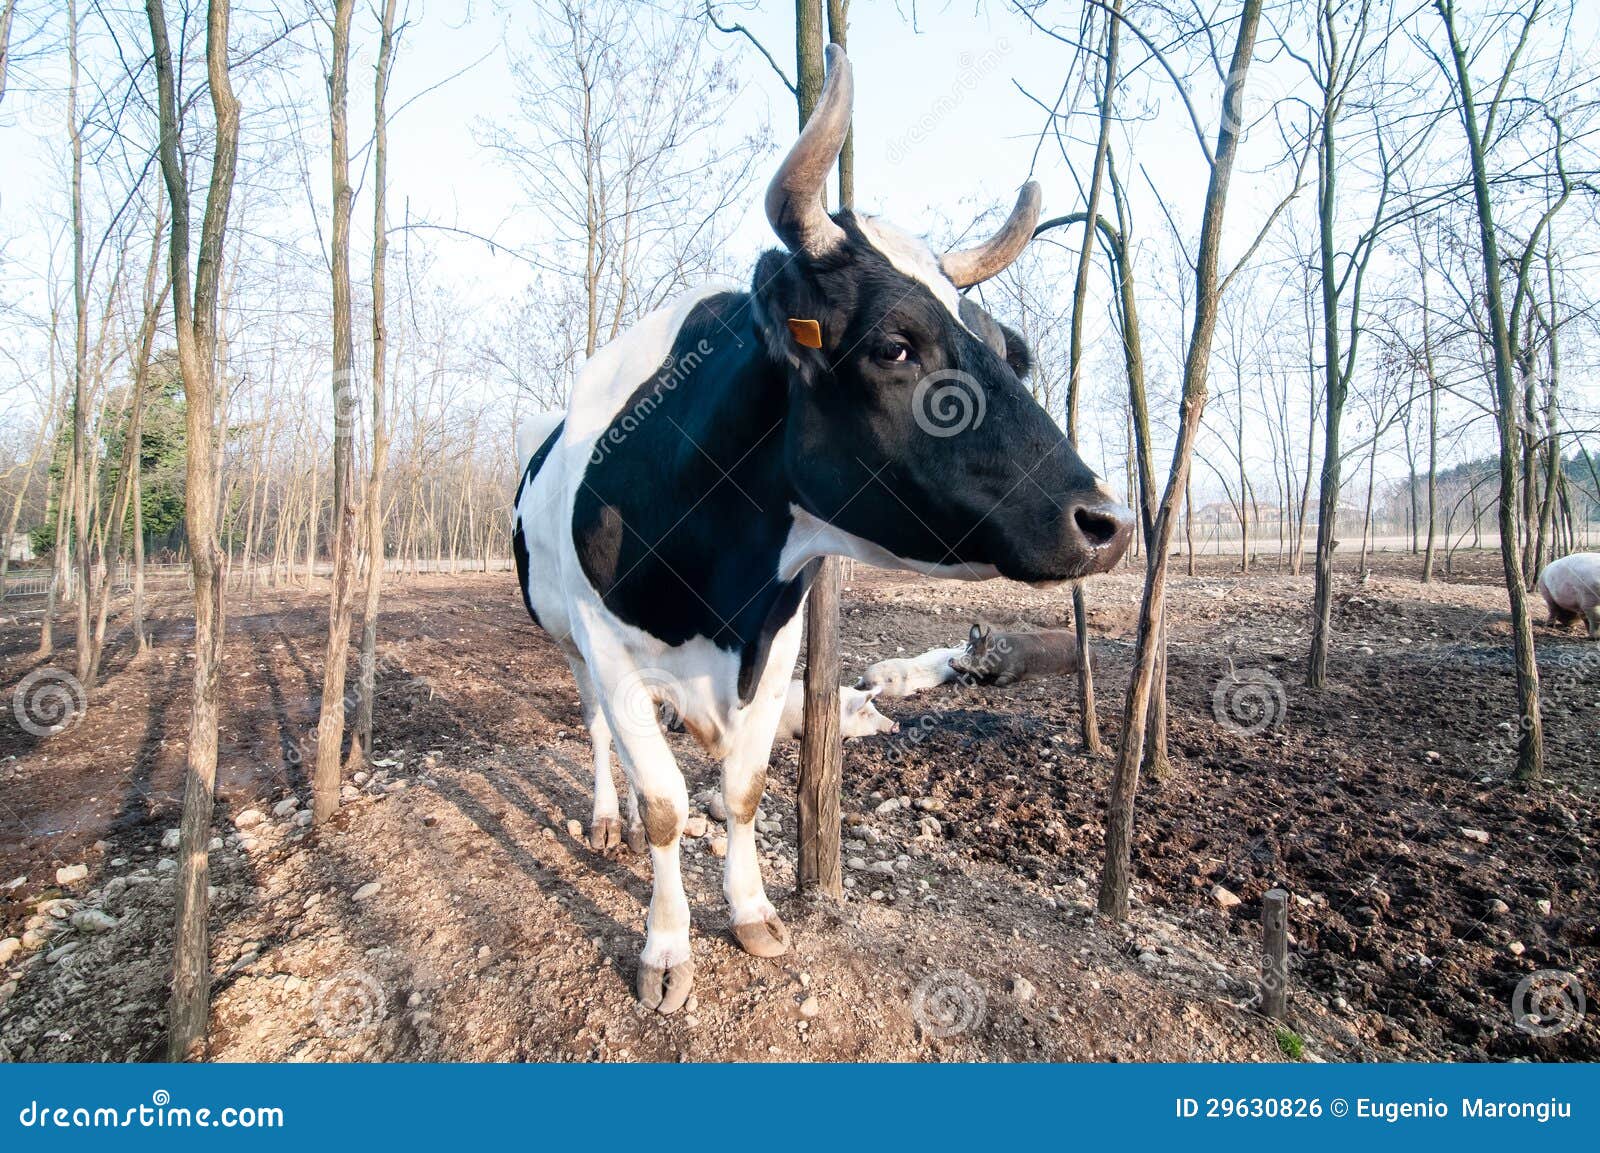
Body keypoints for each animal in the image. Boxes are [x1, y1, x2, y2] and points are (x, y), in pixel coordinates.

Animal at [951, 622, 1081, 685]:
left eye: (974, 653)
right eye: (965, 649)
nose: (950, 660)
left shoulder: (1014, 671)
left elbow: (1000, 682)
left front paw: (993, 682)